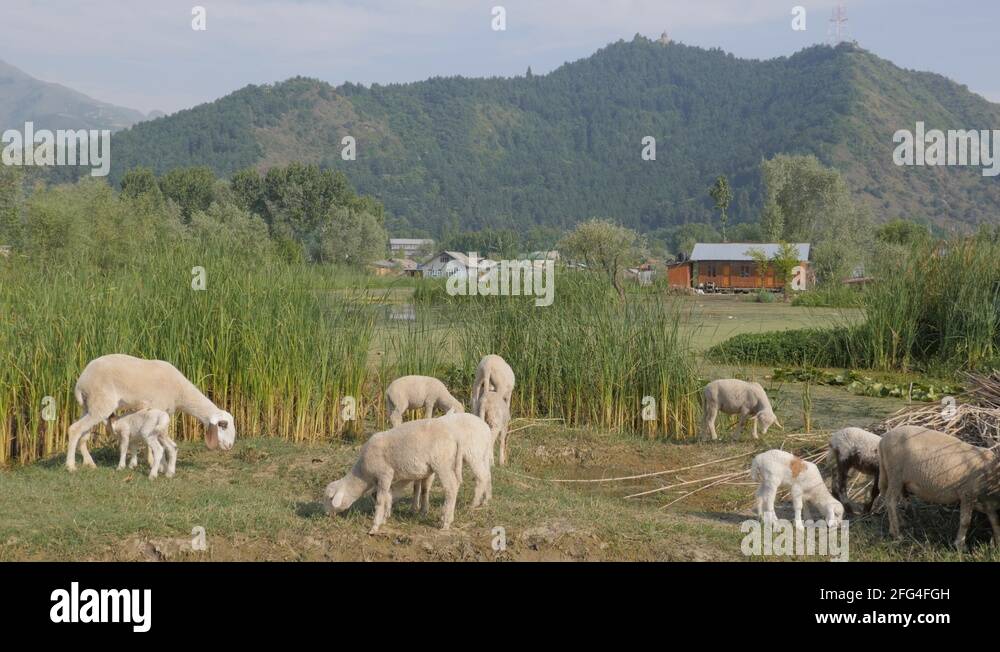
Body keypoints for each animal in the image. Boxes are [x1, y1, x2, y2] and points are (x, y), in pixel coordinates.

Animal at [65, 354, 236, 472]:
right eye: (223, 425)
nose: (229, 446)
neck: (181, 393)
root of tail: (81, 382)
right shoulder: (157, 407)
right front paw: (156, 463)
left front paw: (151, 462)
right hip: (101, 403)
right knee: (74, 429)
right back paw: (70, 466)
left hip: (89, 405)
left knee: (83, 434)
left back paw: (89, 463)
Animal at [324, 413, 492, 534]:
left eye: (330, 499)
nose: (326, 515)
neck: (363, 474)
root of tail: (455, 437)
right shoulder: (390, 478)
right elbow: (388, 496)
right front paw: (385, 517)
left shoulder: (384, 474)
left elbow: (380, 500)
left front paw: (375, 526)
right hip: (453, 461)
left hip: (445, 462)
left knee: (454, 486)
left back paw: (448, 520)